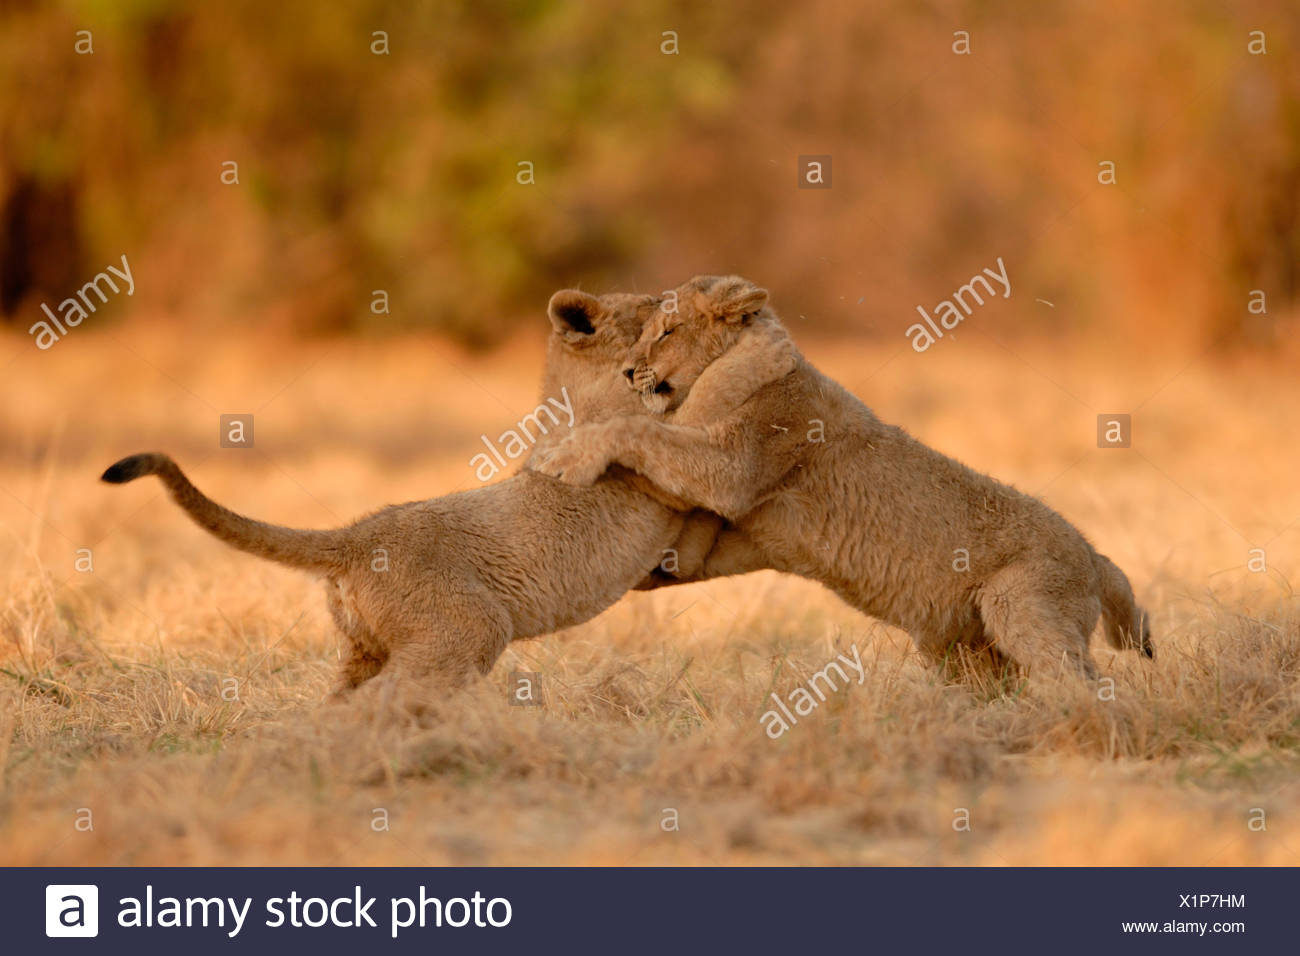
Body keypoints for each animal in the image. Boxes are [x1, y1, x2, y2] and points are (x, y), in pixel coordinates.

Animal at [100, 287, 785, 699]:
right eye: (650, 310)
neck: (581, 390)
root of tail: (354, 537)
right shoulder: (647, 461)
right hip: (465, 630)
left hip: (364, 647)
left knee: (339, 703)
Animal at [532, 274, 1153, 679]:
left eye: (665, 332)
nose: (628, 372)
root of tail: (1094, 554)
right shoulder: (737, 516)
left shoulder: (736, 464)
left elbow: (640, 431)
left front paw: (563, 457)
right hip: (966, 652)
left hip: (1021, 604)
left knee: (1085, 681)